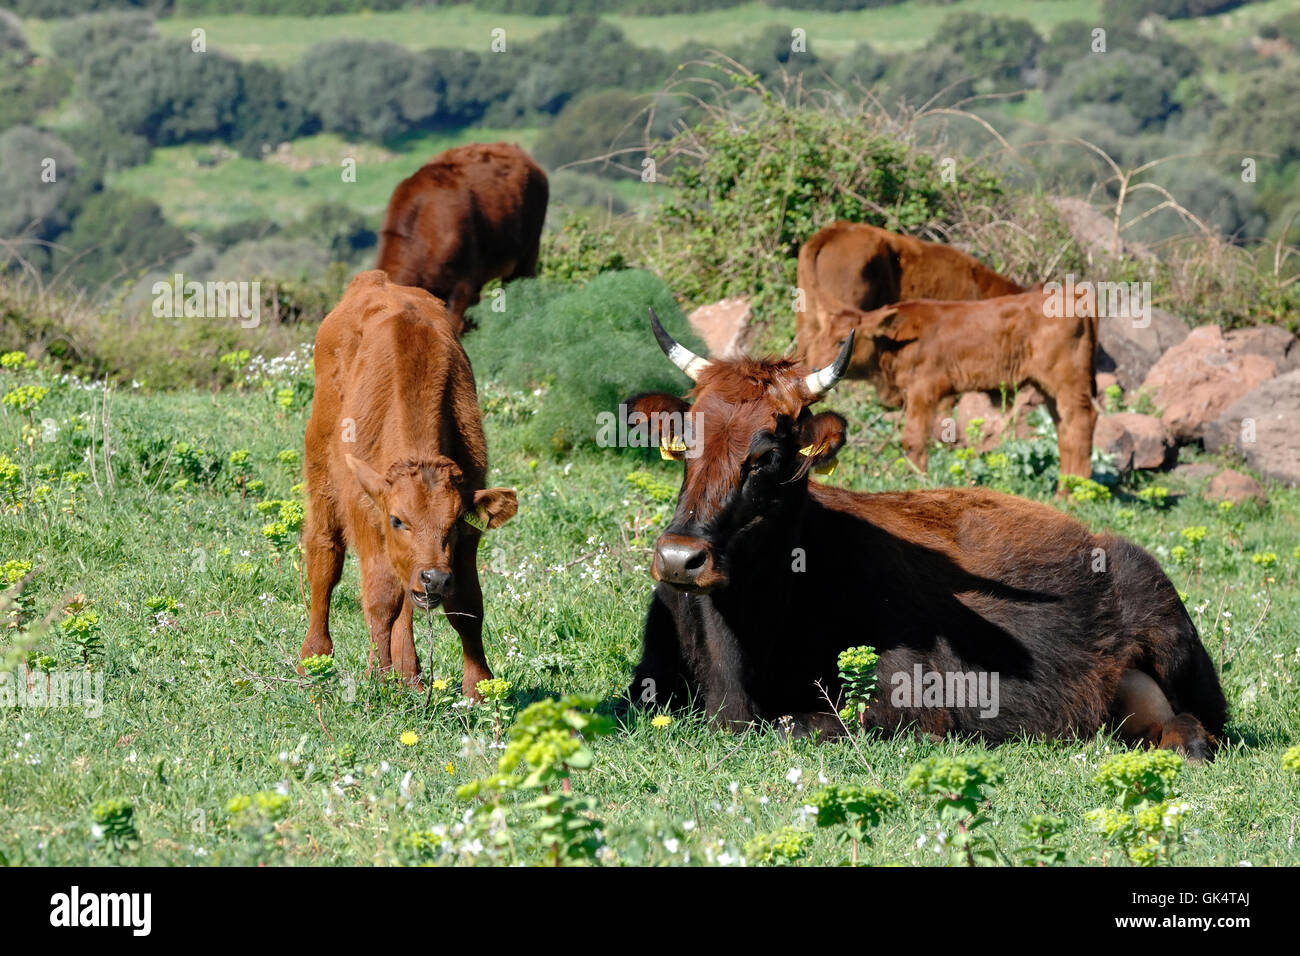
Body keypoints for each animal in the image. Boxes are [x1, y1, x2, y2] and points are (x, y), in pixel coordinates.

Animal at [299, 270, 518, 699]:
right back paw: (314, 656)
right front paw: (379, 679)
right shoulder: (368, 515)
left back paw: (411, 677)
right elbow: (381, 600)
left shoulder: (467, 533)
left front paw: (478, 688)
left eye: (452, 524)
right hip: (321, 480)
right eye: (398, 520)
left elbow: (467, 606)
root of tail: (375, 280)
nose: (434, 579)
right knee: (324, 558)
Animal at [622, 309, 1226, 758]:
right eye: (685, 443)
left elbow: (799, 723)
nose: (679, 557)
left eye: (766, 456)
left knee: (1196, 727)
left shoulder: (910, 702)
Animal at [807, 288, 1098, 486]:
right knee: (1065, 430)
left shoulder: (924, 391)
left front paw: (917, 479)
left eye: (842, 340)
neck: (895, 341)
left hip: (1067, 383)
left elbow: (914, 438)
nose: (814, 367)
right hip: (1049, 390)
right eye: (819, 336)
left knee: (1081, 422)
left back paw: (1073, 492)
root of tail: (1073, 297)